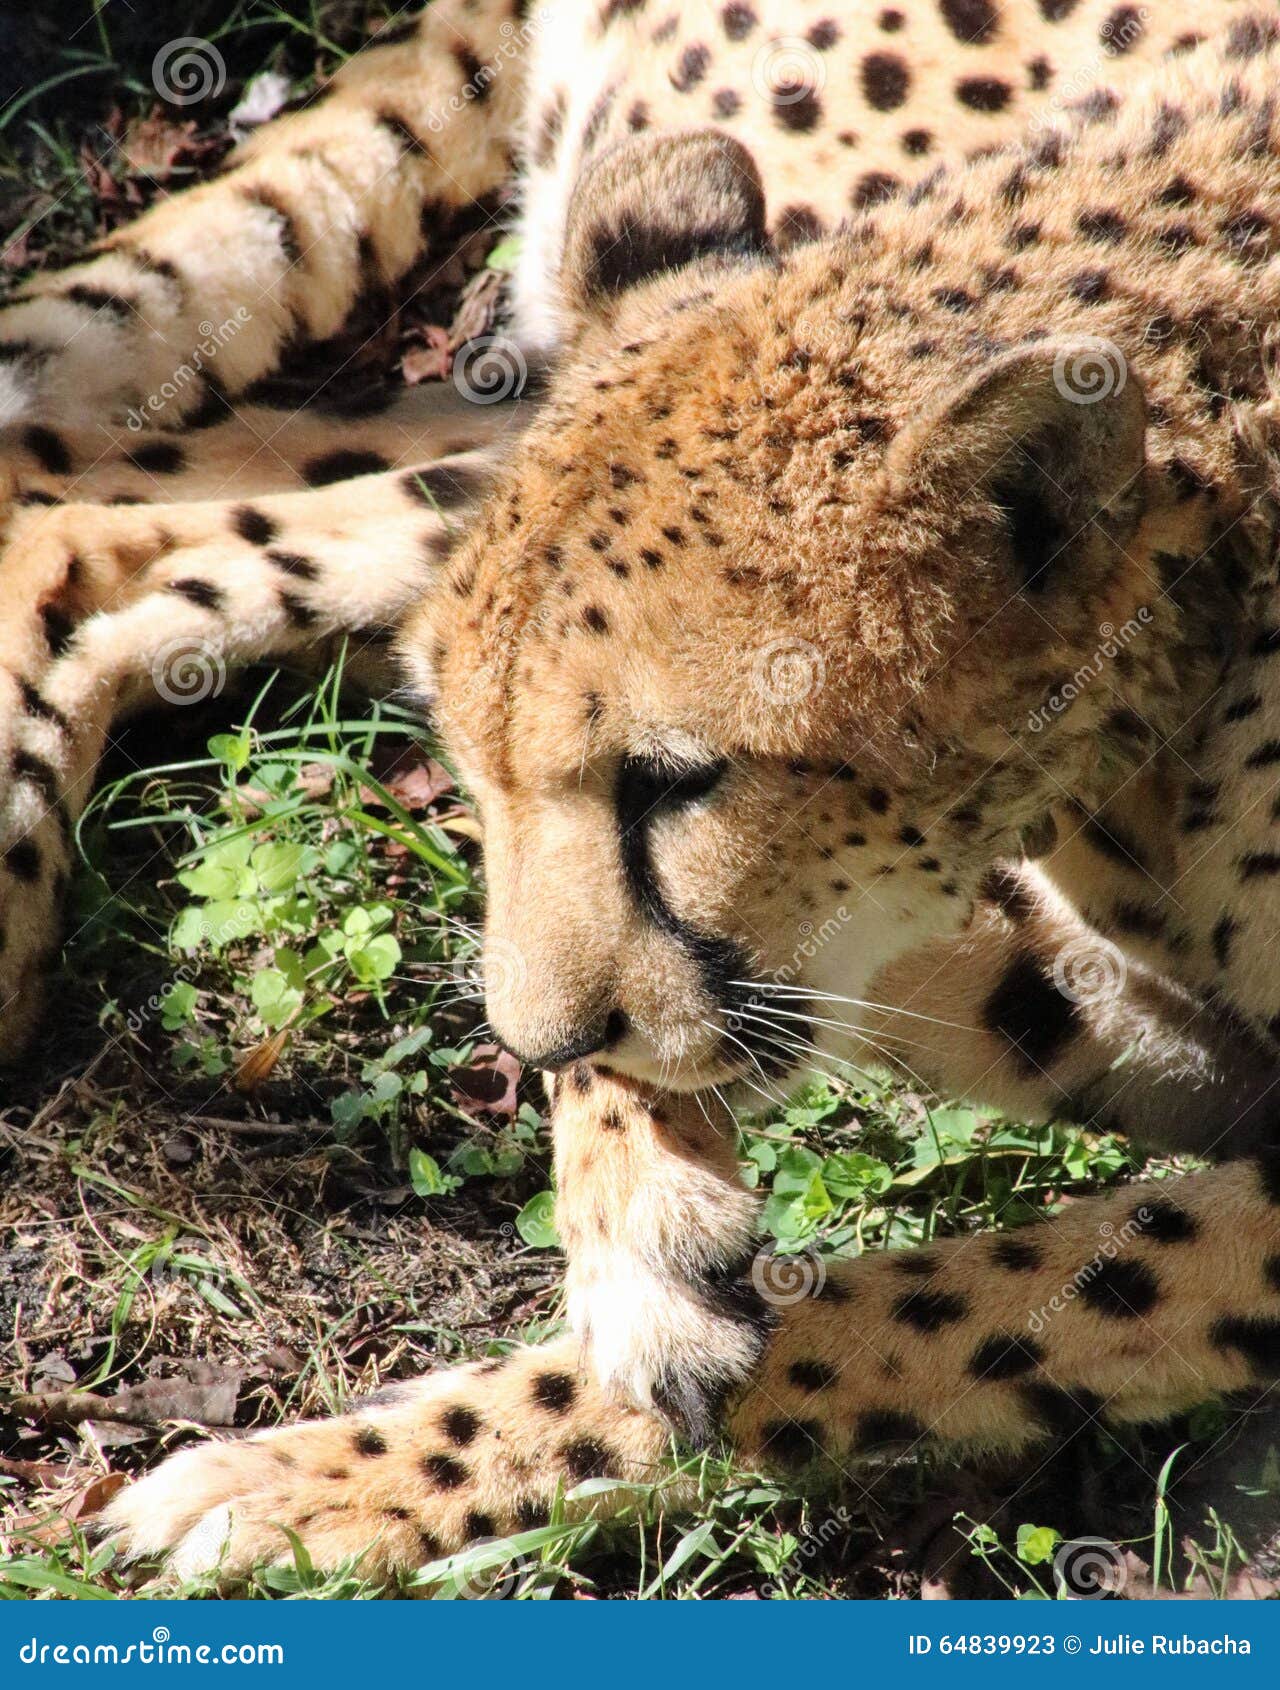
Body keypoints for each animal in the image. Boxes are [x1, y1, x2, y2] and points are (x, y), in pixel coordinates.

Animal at [3, 0, 1280, 1586]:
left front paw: (332, 1480)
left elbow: (982, 1296)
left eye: (675, 780)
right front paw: (635, 1230)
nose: (532, 1039)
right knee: (113, 511)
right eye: (471, 760)